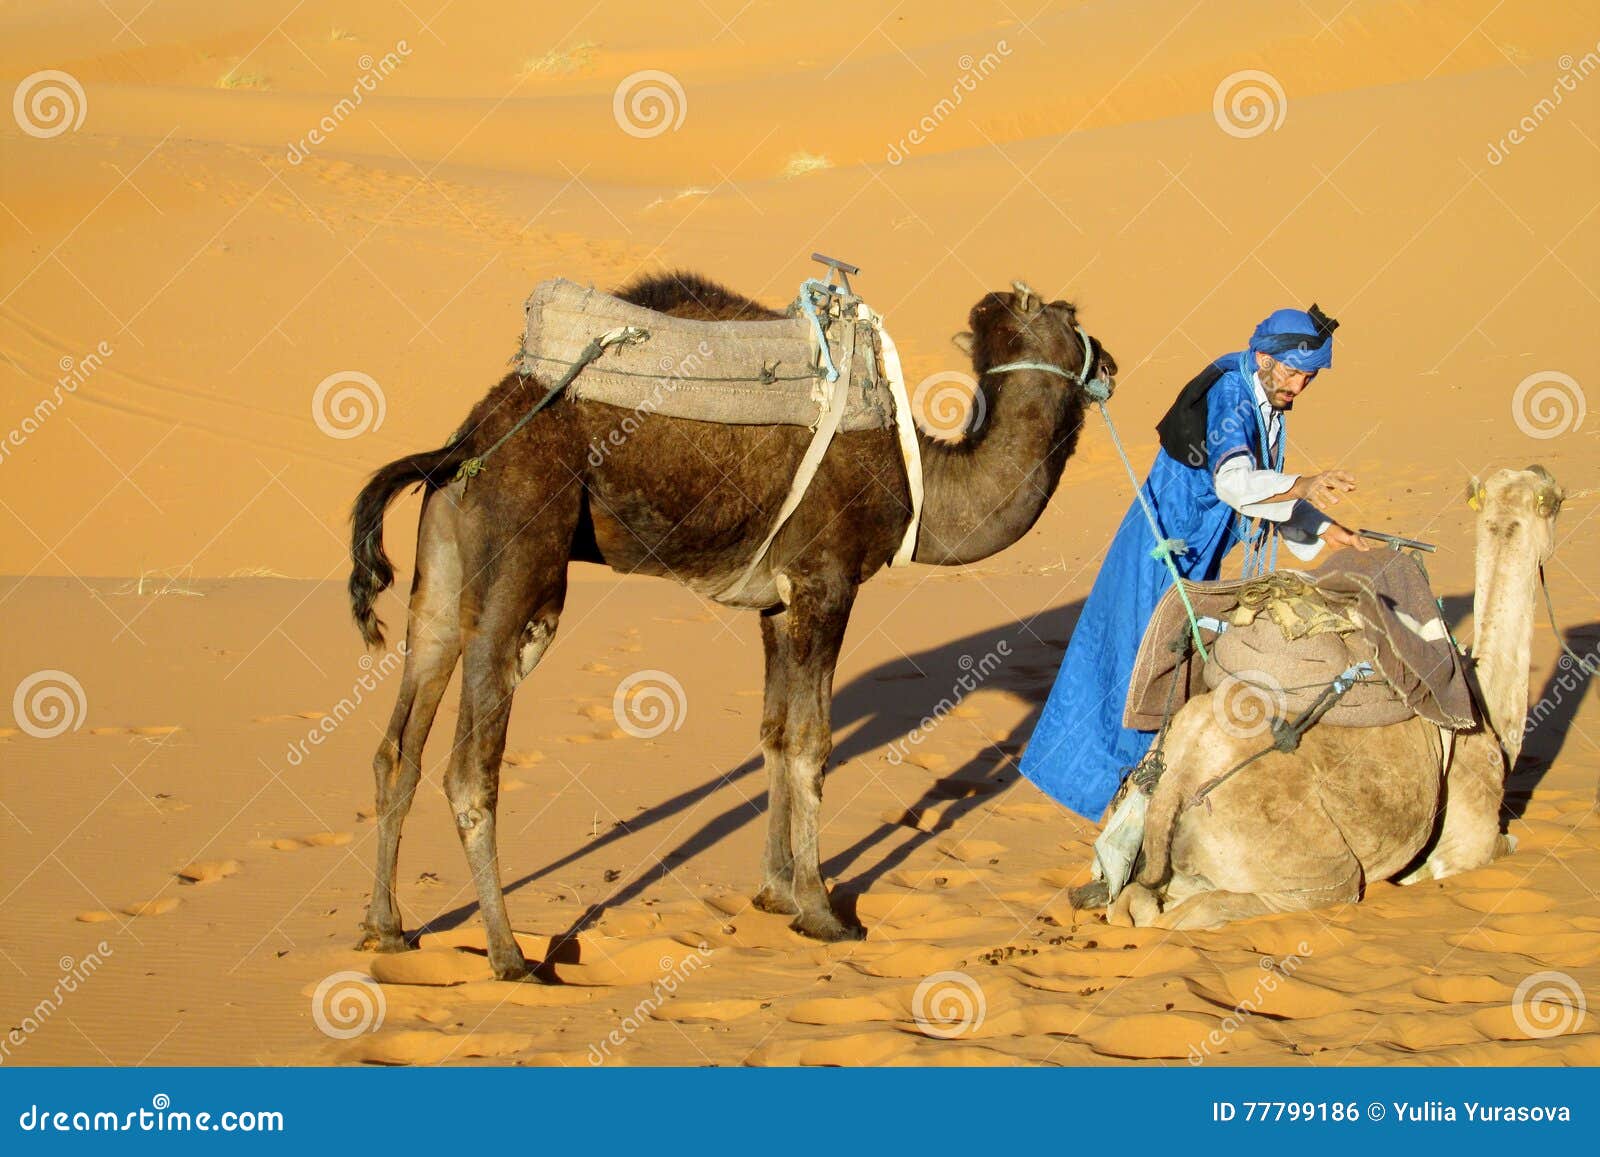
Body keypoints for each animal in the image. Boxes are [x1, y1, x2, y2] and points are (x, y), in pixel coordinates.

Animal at [347, 271, 1118, 979]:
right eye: (1073, 315)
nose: (1109, 362)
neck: (920, 473)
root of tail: (468, 441)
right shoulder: (826, 582)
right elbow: (811, 744)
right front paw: (822, 910)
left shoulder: (777, 600)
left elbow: (774, 736)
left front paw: (776, 893)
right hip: (521, 562)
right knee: (471, 767)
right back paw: (510, 955)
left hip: (442, 567)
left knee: (399, 745)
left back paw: (387, 927)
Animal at [1111, 466, 1563, 930]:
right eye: (1556, 500)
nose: (1543, 471)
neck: (1484, 702)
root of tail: (1175, 786)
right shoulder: (1464, 841)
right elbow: (1497, 845)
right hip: (1310, 874)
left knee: (1133, 901)